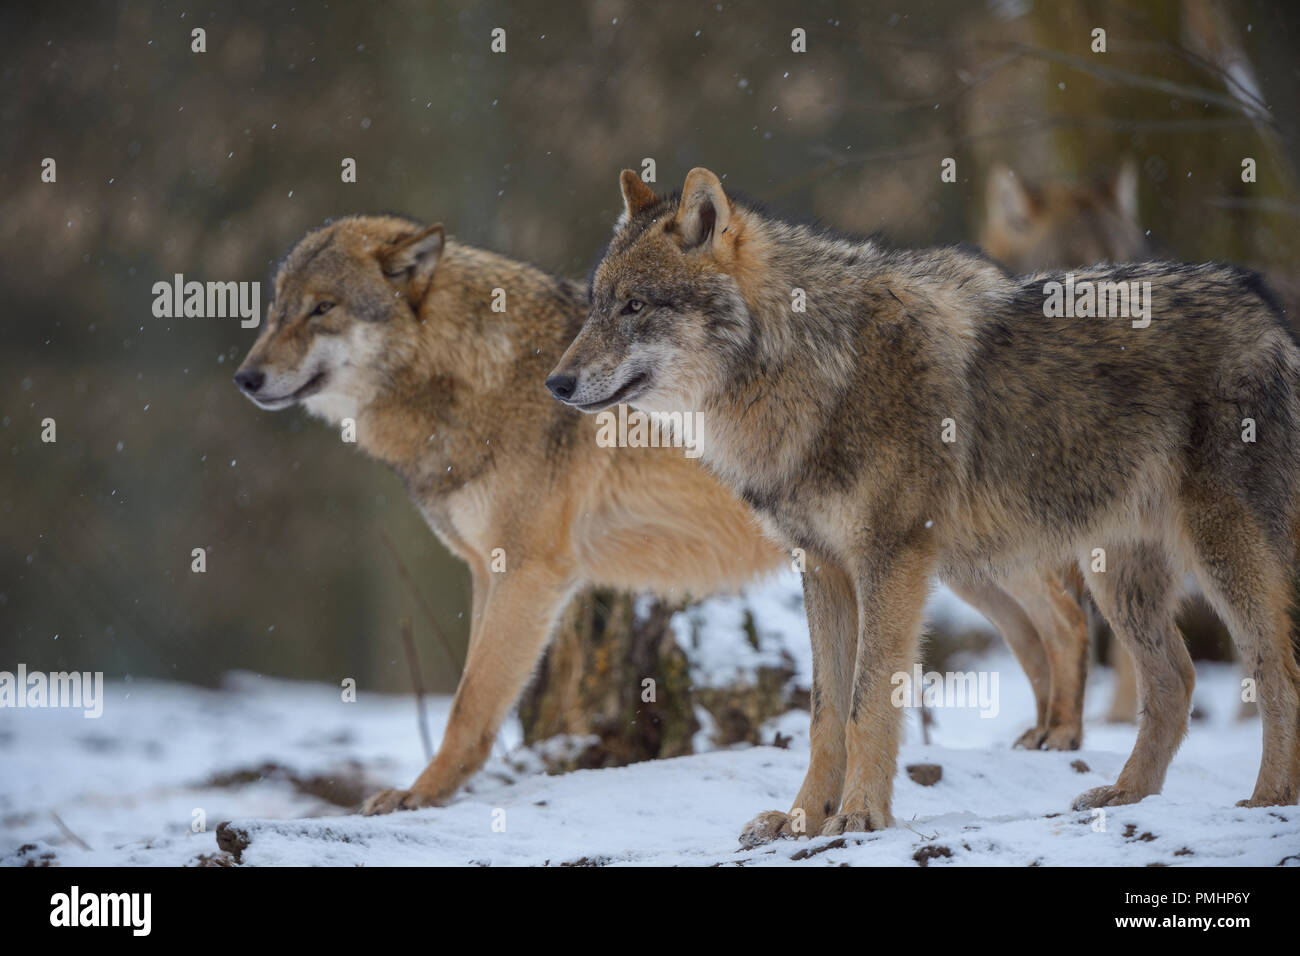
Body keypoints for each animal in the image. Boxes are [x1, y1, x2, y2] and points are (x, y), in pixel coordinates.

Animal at [233, 215, 1098, 814]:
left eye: (321, 310)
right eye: (274, 310)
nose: (245, 377)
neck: (476, 378)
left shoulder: (531, 575)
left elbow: (469, 705)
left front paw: (421, 796)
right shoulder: (489, 571)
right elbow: (477, 698)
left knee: (1068, 616)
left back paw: (1064, 735)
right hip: (951, 564)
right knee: (1043, 629)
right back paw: (1043, 738)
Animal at [550, 168, 1300, 844]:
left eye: (635, 307)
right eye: (596, 303)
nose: (556, 382)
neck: (815, 370)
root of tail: (1269, 313)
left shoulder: (892, 559)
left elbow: (866, 704)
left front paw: (858, 818)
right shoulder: (823, 569)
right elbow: (824, 716)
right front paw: (800, 821)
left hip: (1220, 555)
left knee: (1276, 671)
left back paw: (1266, 803)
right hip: (1113, 577)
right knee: (1174, 682)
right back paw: (1125, 797)